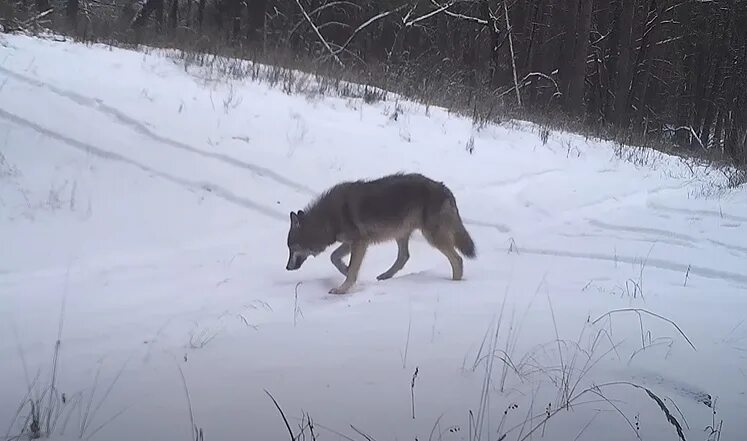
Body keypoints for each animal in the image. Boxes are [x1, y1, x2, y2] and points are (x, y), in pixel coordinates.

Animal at [284, 172, 476, 292]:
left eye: (291, 248)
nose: (287, 267)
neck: (327, 219)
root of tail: (445, 188)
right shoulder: (353, 242)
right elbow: (335, 258)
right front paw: (346, 271)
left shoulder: (360, 242)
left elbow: (349, 267)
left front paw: (342, 288)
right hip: (401, 234)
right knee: (404, 257)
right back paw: (385, 276)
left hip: (431, 237)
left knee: (457, 259)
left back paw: (454, 285)